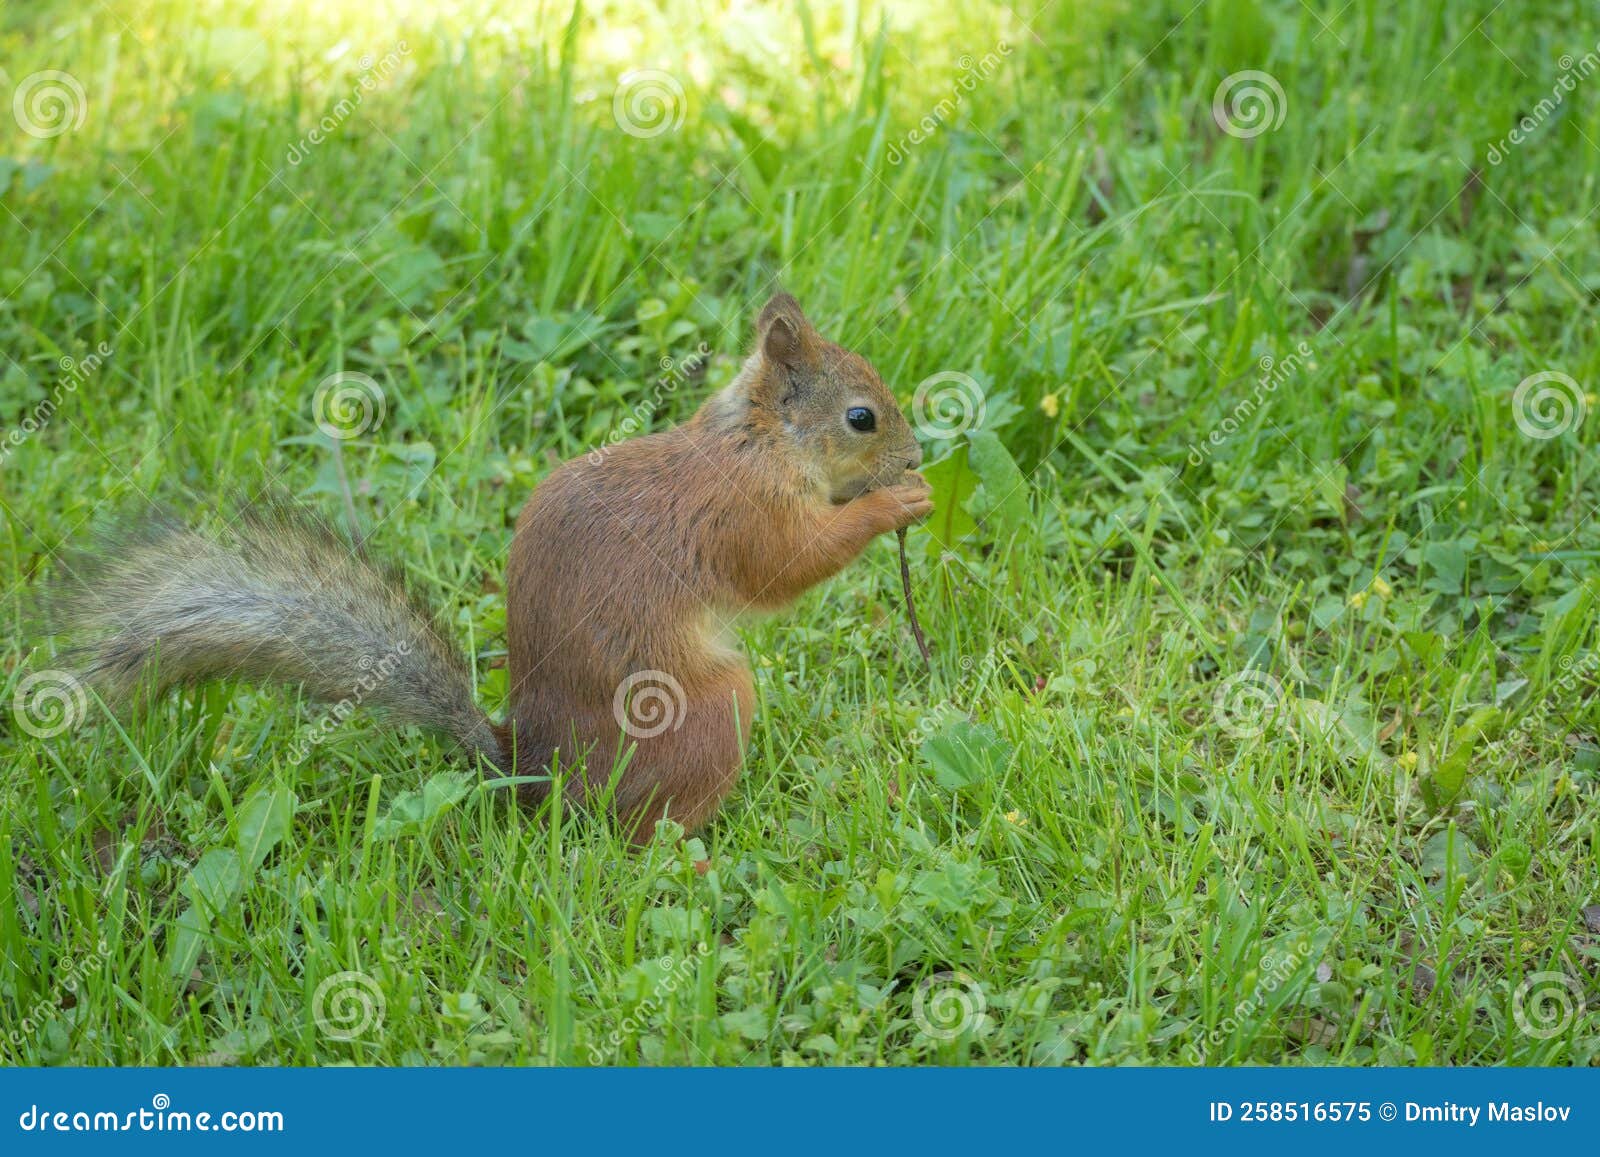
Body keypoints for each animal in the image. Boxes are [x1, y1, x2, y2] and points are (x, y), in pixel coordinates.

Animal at [46, 294, 932, 840]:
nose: (918, 455)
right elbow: (791, 565)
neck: (757, 442)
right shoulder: (743, 516)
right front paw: (897, 504)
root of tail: (531, 772)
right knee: (642, 835)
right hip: (706, 712)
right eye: (861, 418)